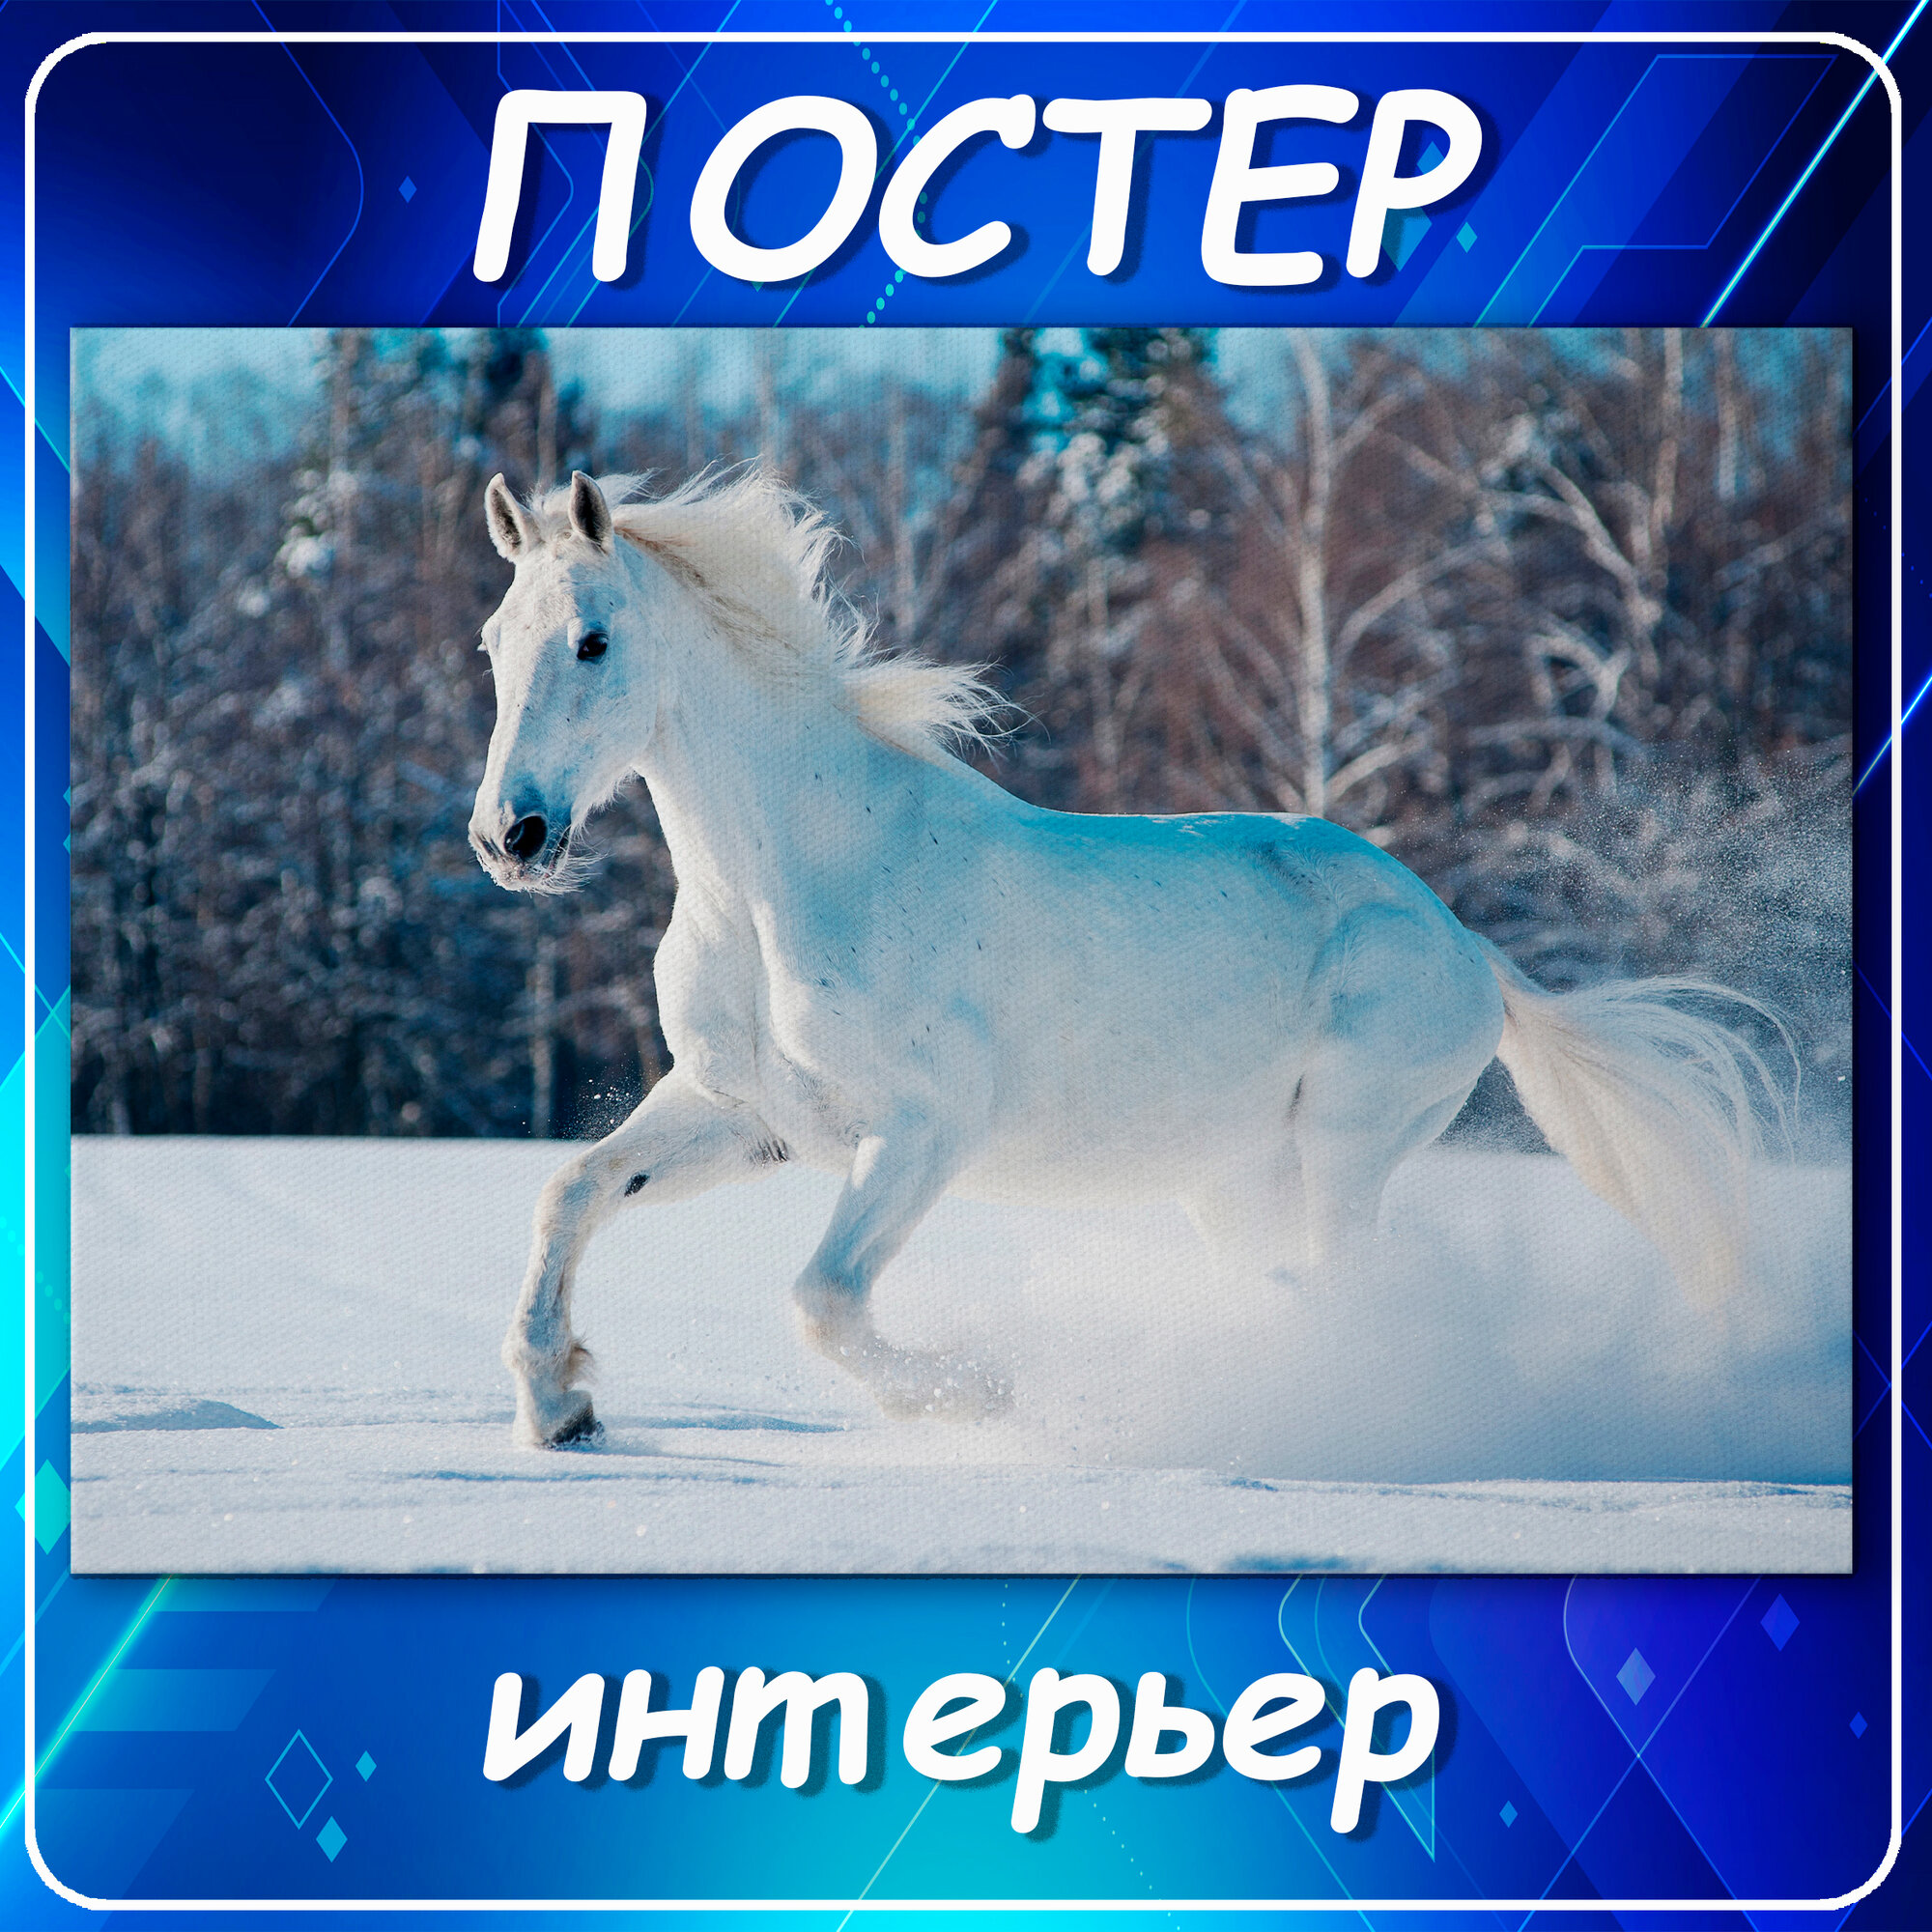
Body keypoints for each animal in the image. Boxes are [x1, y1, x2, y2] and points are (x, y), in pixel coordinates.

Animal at [469, 467, 1779, 1450]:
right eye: (492, 641)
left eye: (592, 640)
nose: (510, 836)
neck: (785, 882)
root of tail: (1463, 945)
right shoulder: (747, 1114)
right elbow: (569, 1190)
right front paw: (562, 1406)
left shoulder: (926, 1127)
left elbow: (823, 1300)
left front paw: (979, 1392)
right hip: (1231, 1180)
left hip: (1346, 1144)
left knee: (1347, 1288)